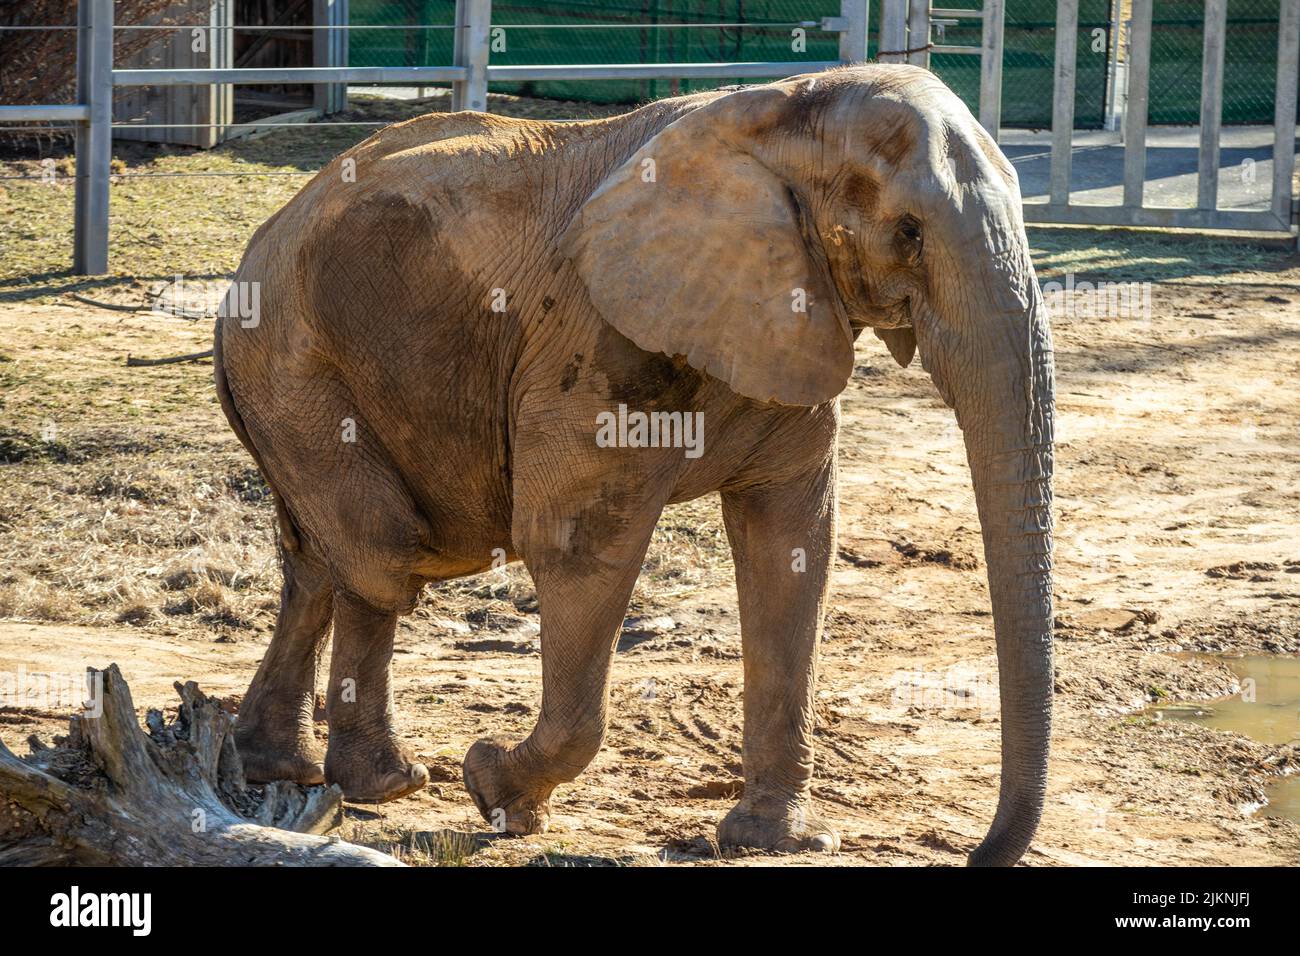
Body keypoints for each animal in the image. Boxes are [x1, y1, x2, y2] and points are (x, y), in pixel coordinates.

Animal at [214, 63, 1055, 866]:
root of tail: (257, 247)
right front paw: (493, 787)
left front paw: (775, 841)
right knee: (380, 552)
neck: (785, 110)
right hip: (296, 369)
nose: (978, 855)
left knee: (319, 560)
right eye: (909, 231)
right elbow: (581, 544)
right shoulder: (595, 338)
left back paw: (280, 767)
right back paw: (387, 782)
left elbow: (791, 543)